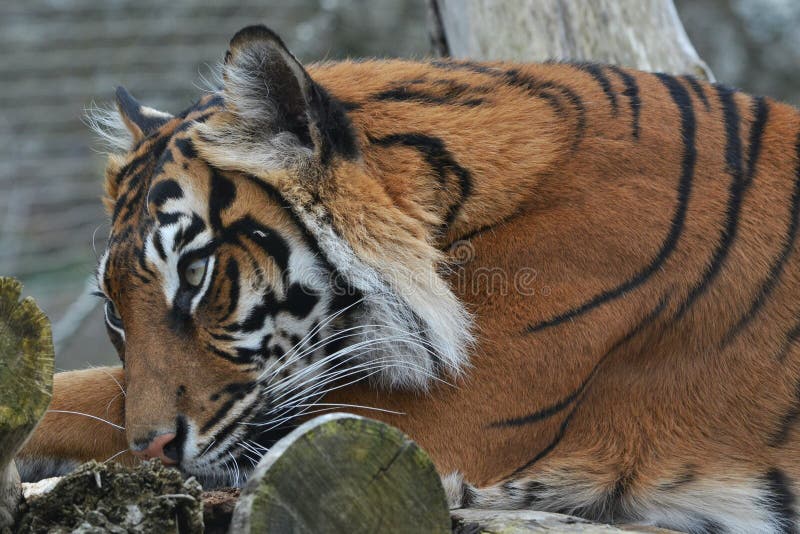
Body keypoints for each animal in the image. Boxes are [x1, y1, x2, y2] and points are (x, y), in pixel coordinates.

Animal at [14, 23, 800, 533]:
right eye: (113, 312)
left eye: (198, 273)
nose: (149, 448)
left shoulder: (447, 416)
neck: (449, 213)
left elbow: (101, 404)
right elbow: (96, 394)